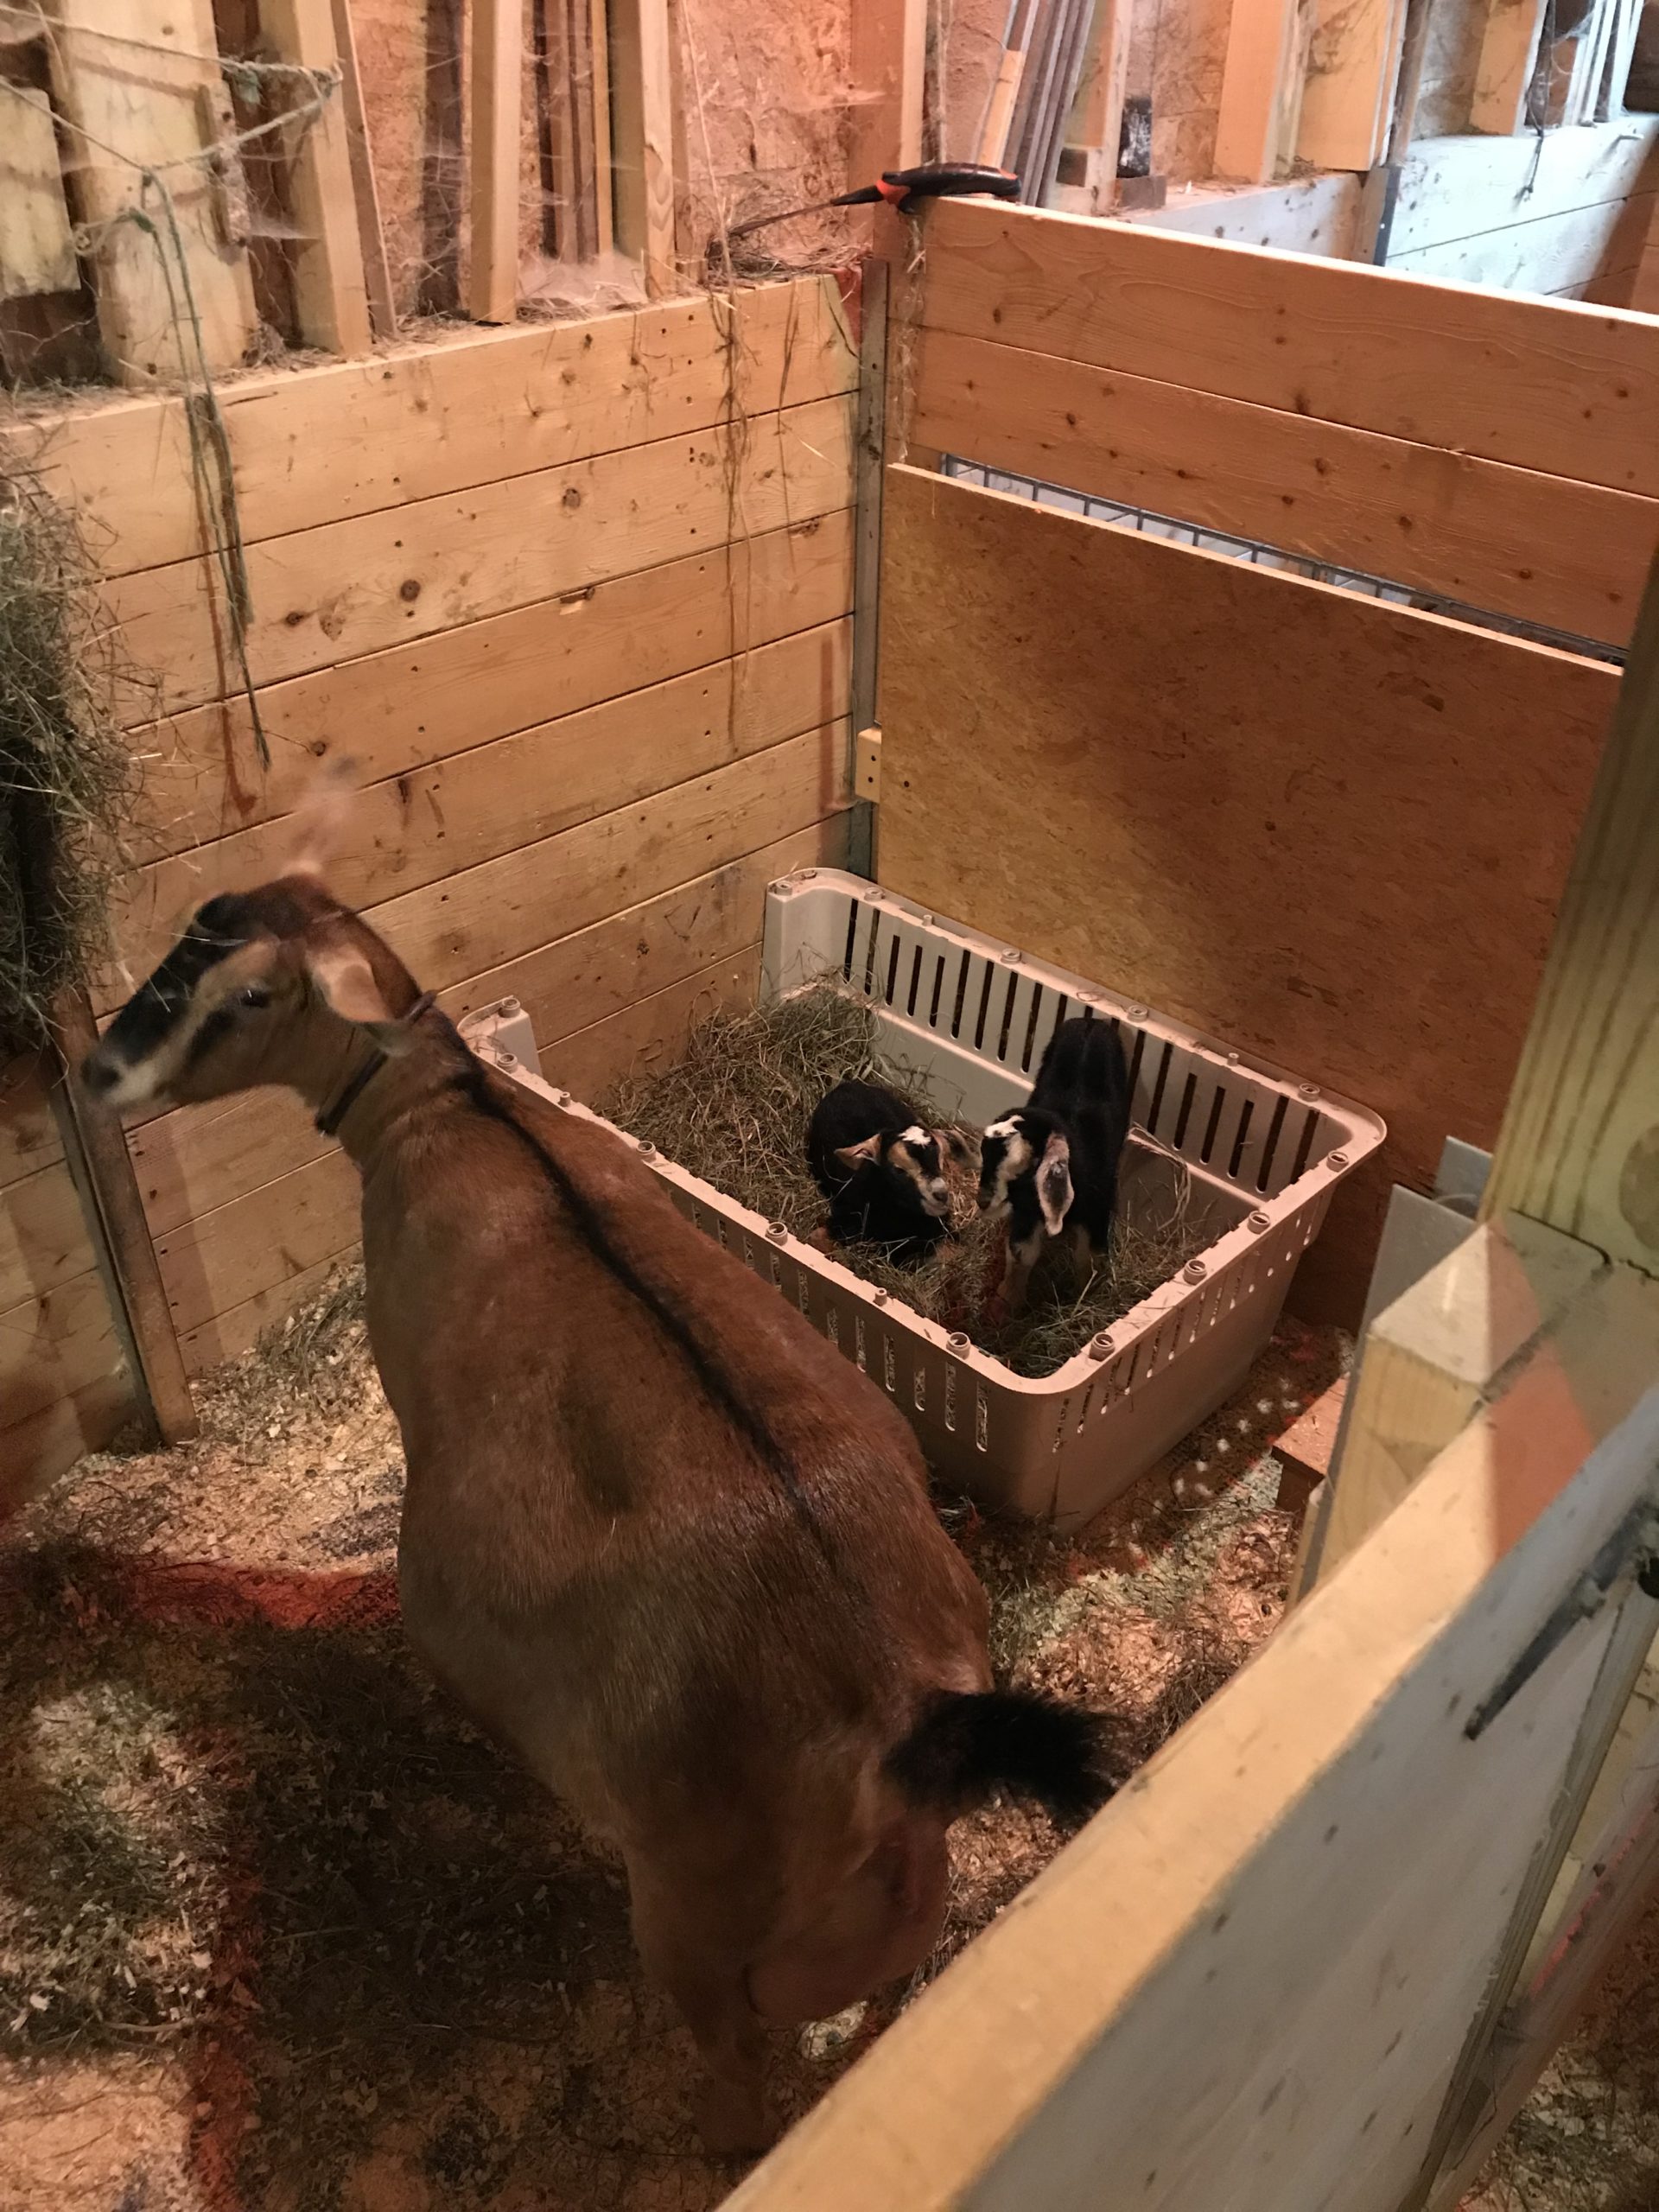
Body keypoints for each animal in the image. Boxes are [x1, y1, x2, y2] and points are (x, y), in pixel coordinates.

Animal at [978, 1014, 1131, 1312]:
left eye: (1028, 1164)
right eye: (984, 1155)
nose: (983, 1201)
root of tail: (1091, 1021)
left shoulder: (1097, 1211)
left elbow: (1091, 1260)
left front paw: (1085, 1299)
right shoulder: (1026, 1213)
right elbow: (1022, 1253)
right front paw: (1006, 1301)